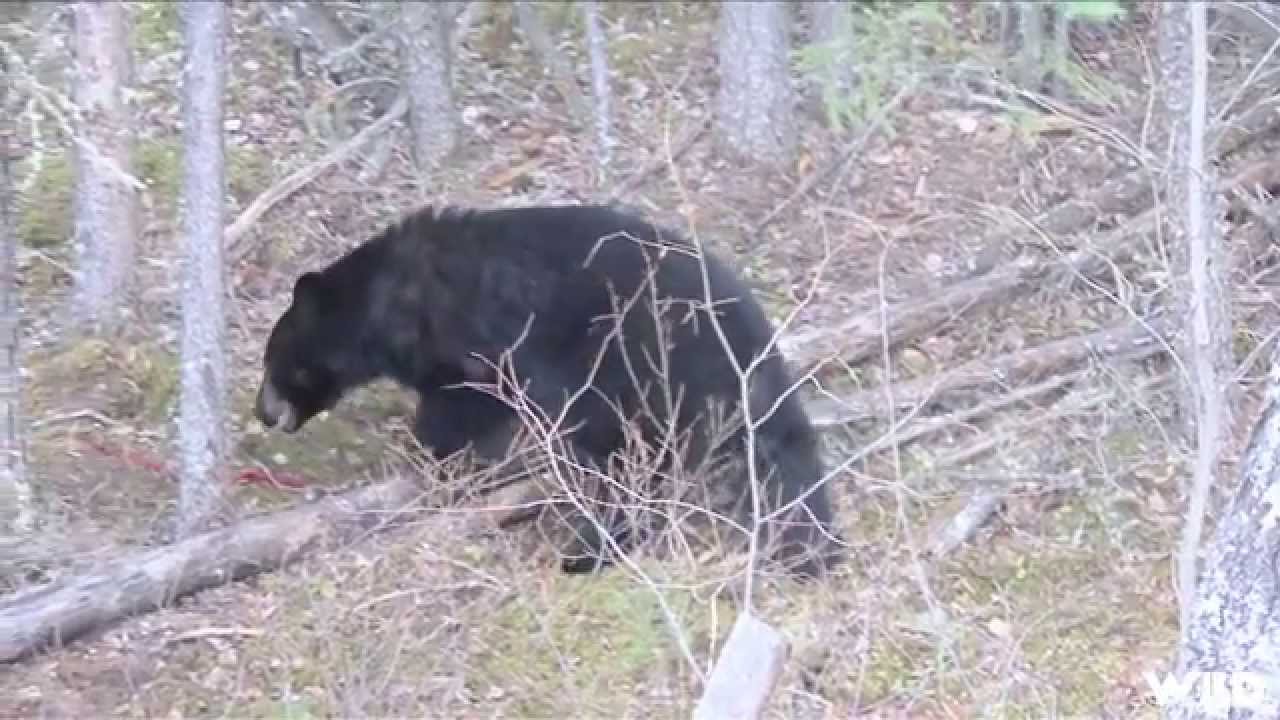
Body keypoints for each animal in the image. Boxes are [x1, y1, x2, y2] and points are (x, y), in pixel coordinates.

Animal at [253, 203, 845, 579]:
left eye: (271, 361)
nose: (261, 413)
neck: (392, 300)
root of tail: (752, 350)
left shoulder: (480, 339)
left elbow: (462, 404)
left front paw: (438, 457)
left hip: (643, 374)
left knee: (629, 467)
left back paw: (589, 550)